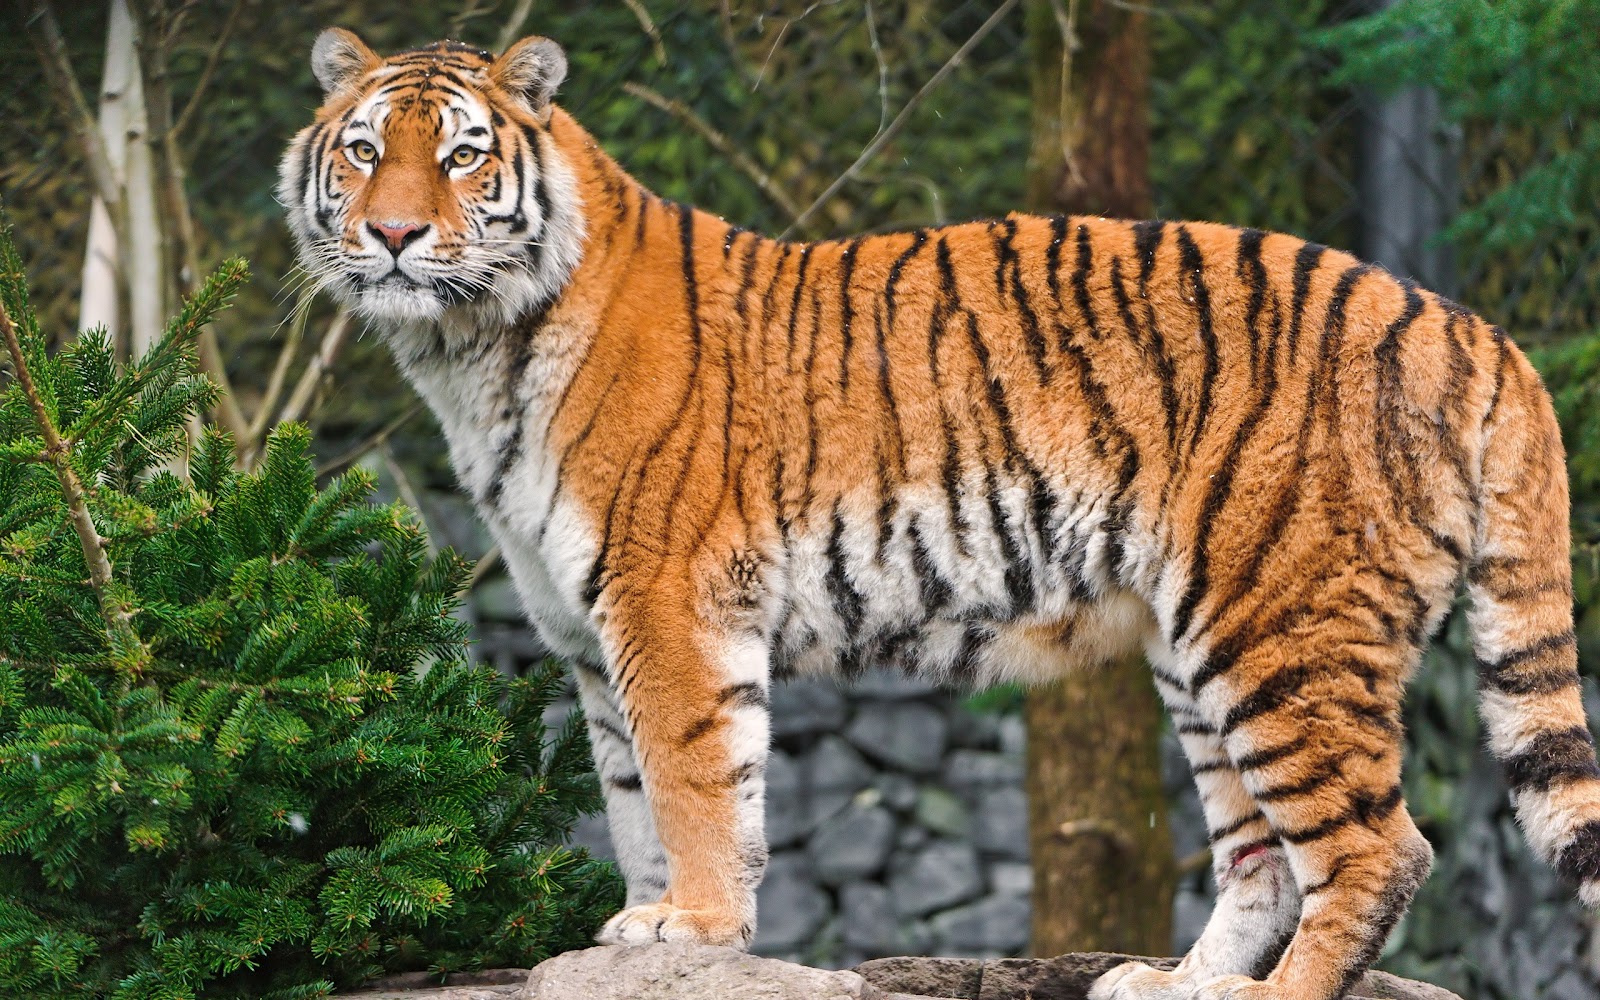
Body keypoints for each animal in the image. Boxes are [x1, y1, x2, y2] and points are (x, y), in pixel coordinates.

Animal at [278, 27, 1600, 1000]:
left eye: (460, 157)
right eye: (363, 150)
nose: (392, 234)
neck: (466, 348)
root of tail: (1468, 323)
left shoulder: (666, 603)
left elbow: (692, 782)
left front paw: (692, 925)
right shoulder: (588, 633)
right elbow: (630, 794)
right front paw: (647, 918)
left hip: (1281, 625)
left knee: (1379, 849)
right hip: (1201, 646)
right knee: (1262, 855)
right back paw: (1177, 985)